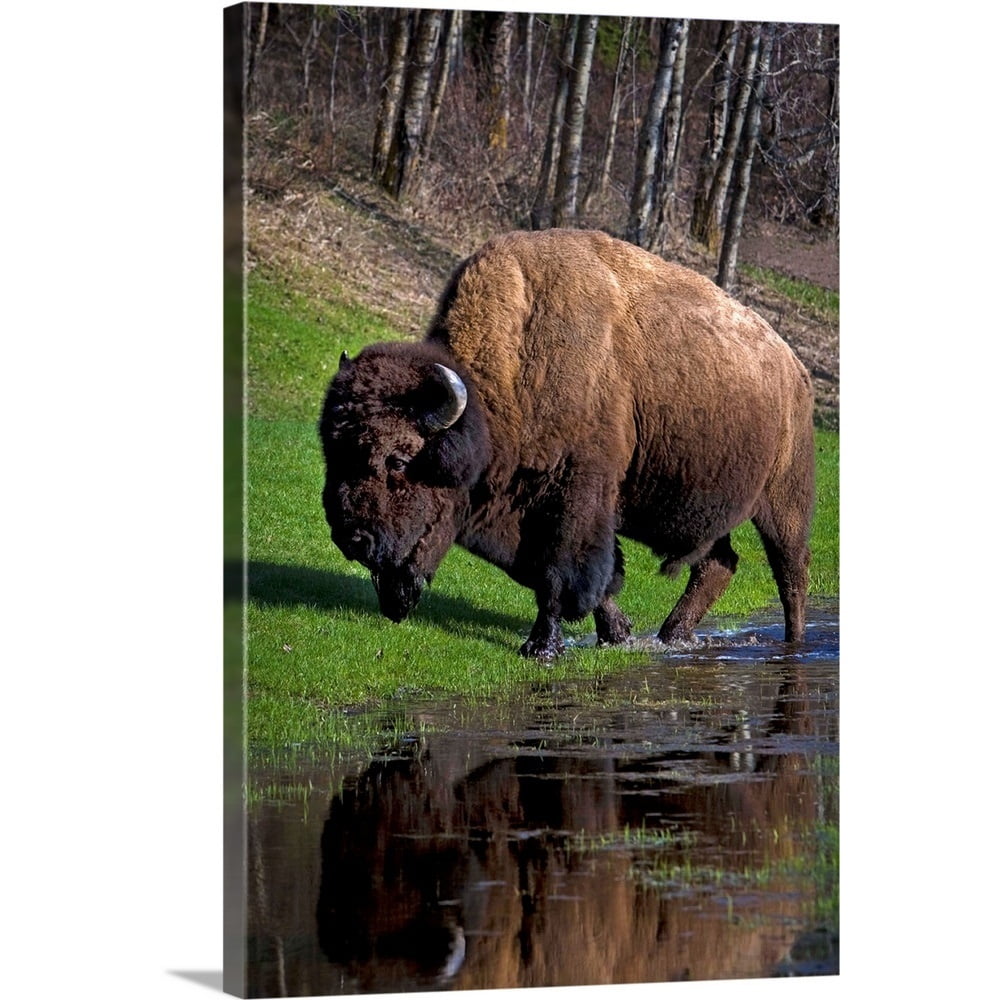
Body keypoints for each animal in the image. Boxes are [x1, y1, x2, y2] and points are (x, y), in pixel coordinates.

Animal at [319, 229, 814, 659]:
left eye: (399, 460)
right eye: (332, 452)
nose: (353, 537)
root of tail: (794, 367)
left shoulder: (577, 497)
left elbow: (562, 572)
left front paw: (542, 647)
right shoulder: (519, 509)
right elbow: (576, 576)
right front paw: (617, 634)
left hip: (785, 502)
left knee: (791, 573)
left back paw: (793, 644)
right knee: (719, 562)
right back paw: (673, 635)